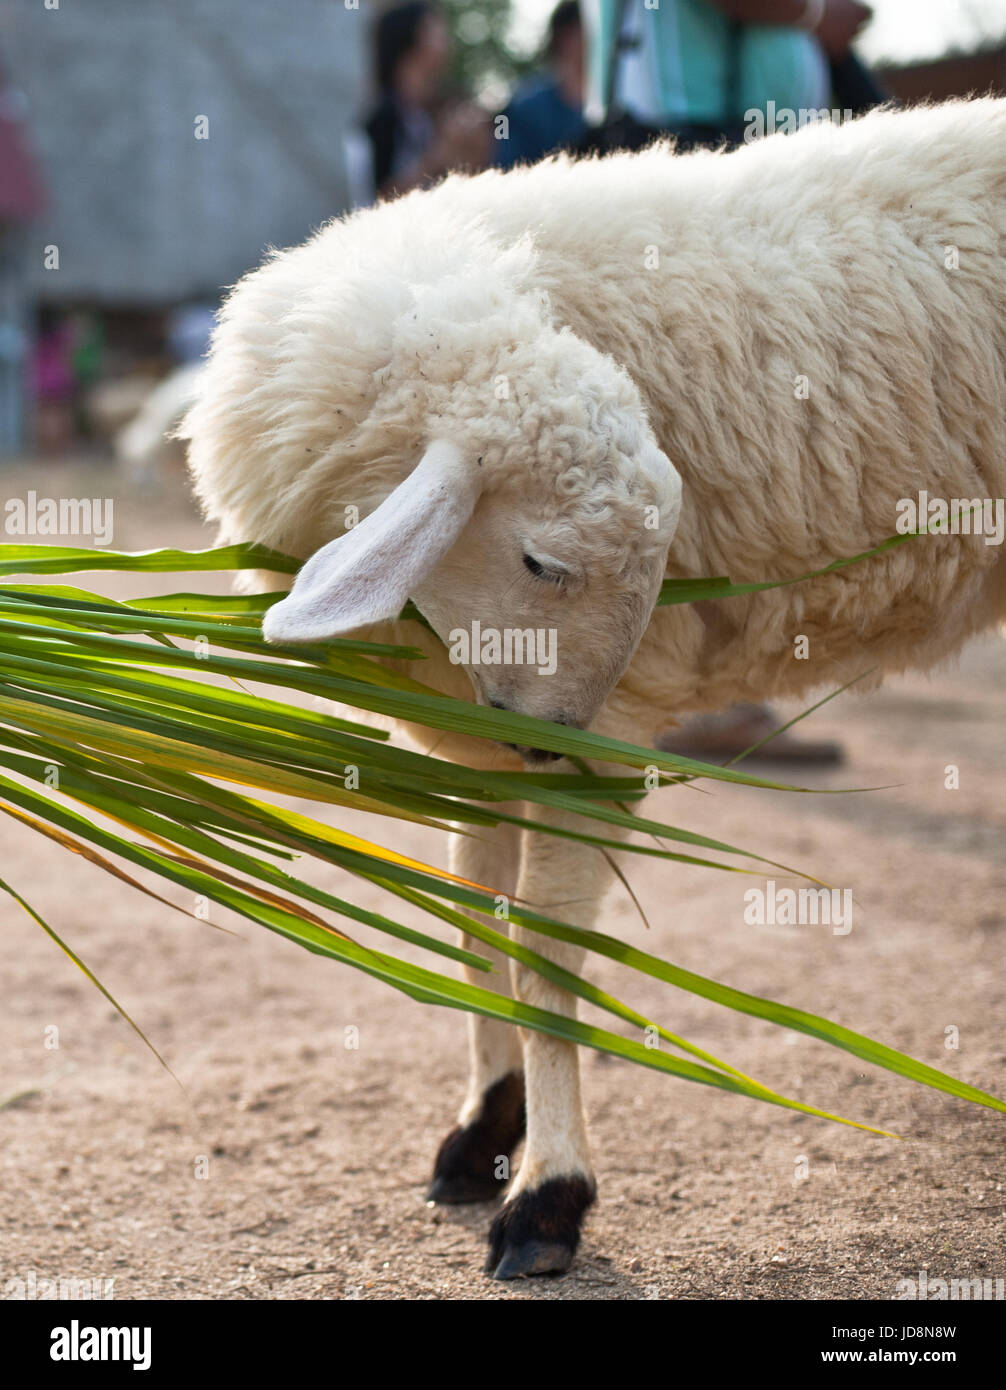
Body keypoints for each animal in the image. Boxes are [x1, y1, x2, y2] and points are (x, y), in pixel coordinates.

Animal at [182, 98, 1006, 1280]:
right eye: (543, 562)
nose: (560, 737)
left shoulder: (606, 721)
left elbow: (544, 955)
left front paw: (547, 1199)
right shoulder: (472, 730)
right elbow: (472, 919)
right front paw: (485, 1130)